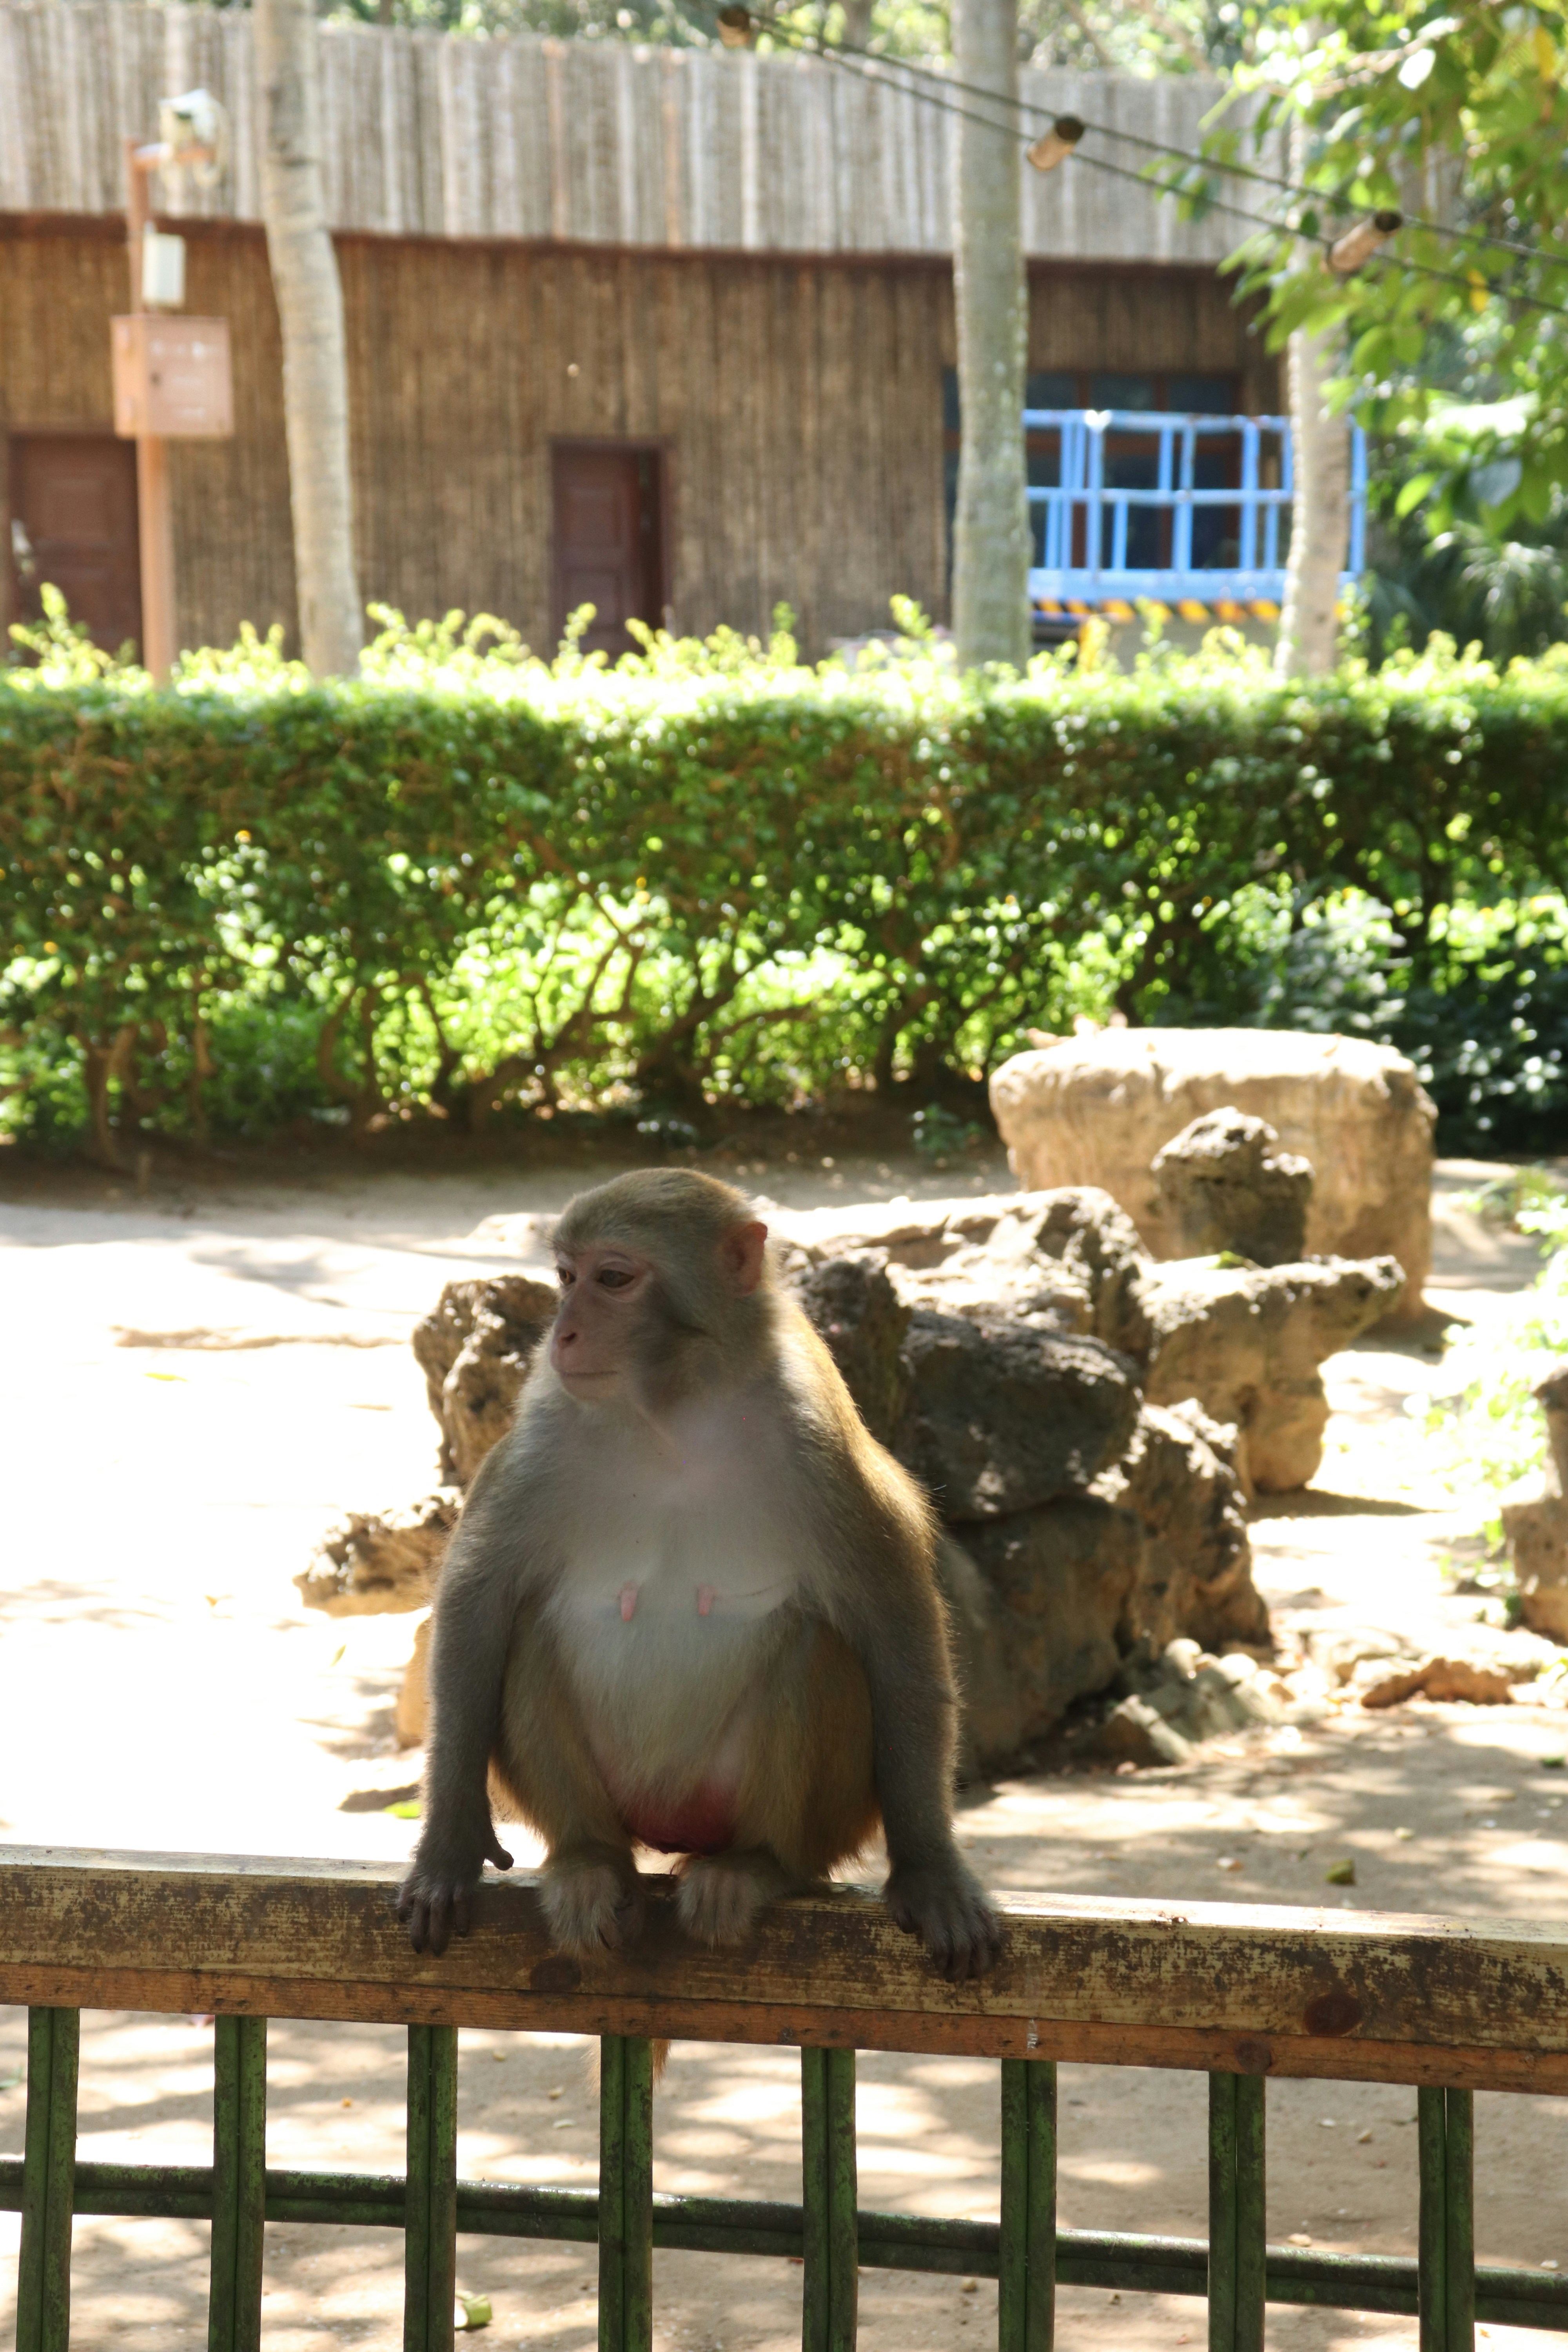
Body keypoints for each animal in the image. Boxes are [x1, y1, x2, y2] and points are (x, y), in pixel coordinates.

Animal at [396, 1168, 1001, 1983]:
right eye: (566, 1278)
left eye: (614, 1279)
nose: (562, 1334)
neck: (675, 1412)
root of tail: (671, 1830)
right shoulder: (545, 1427)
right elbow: (477, 1609)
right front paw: (449, 1846)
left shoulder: (817, 1439)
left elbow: (897, 1634)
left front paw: (932, 1871)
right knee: (526, 1637)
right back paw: (590, 1861)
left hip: (802, 1812)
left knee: (816, 1652)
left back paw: (760, 1866)